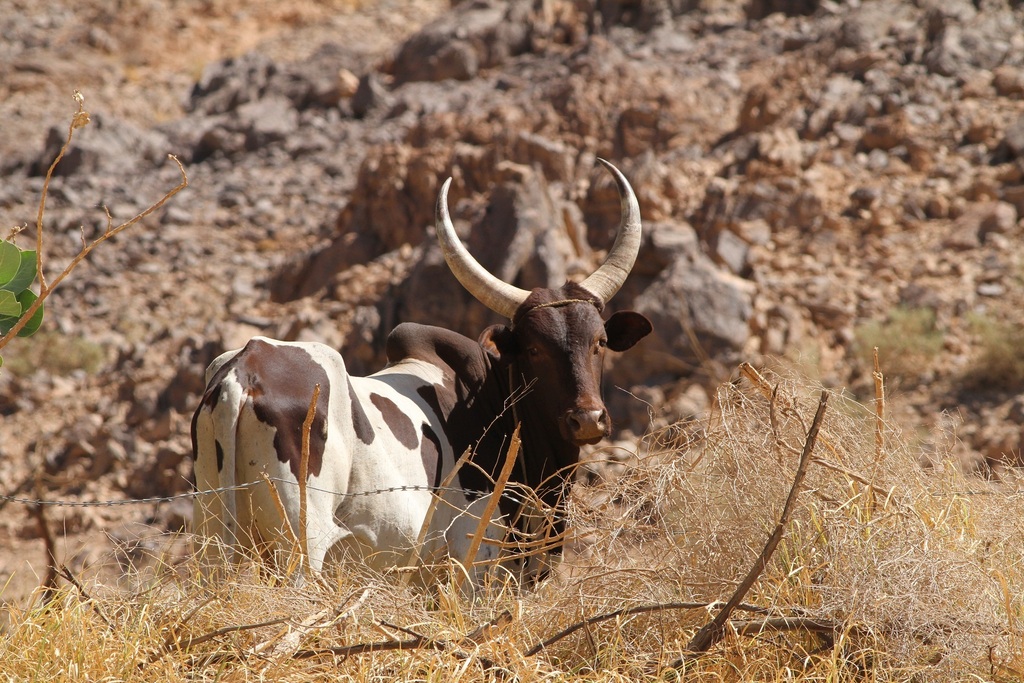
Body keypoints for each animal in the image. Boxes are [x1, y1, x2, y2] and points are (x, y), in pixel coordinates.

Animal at [191, 159, 652, 585]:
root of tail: (244, 372)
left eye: (600, 342)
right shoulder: (474, 561)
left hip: (214, 540)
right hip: (304, 545)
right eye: (535, 349)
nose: (587, 419)